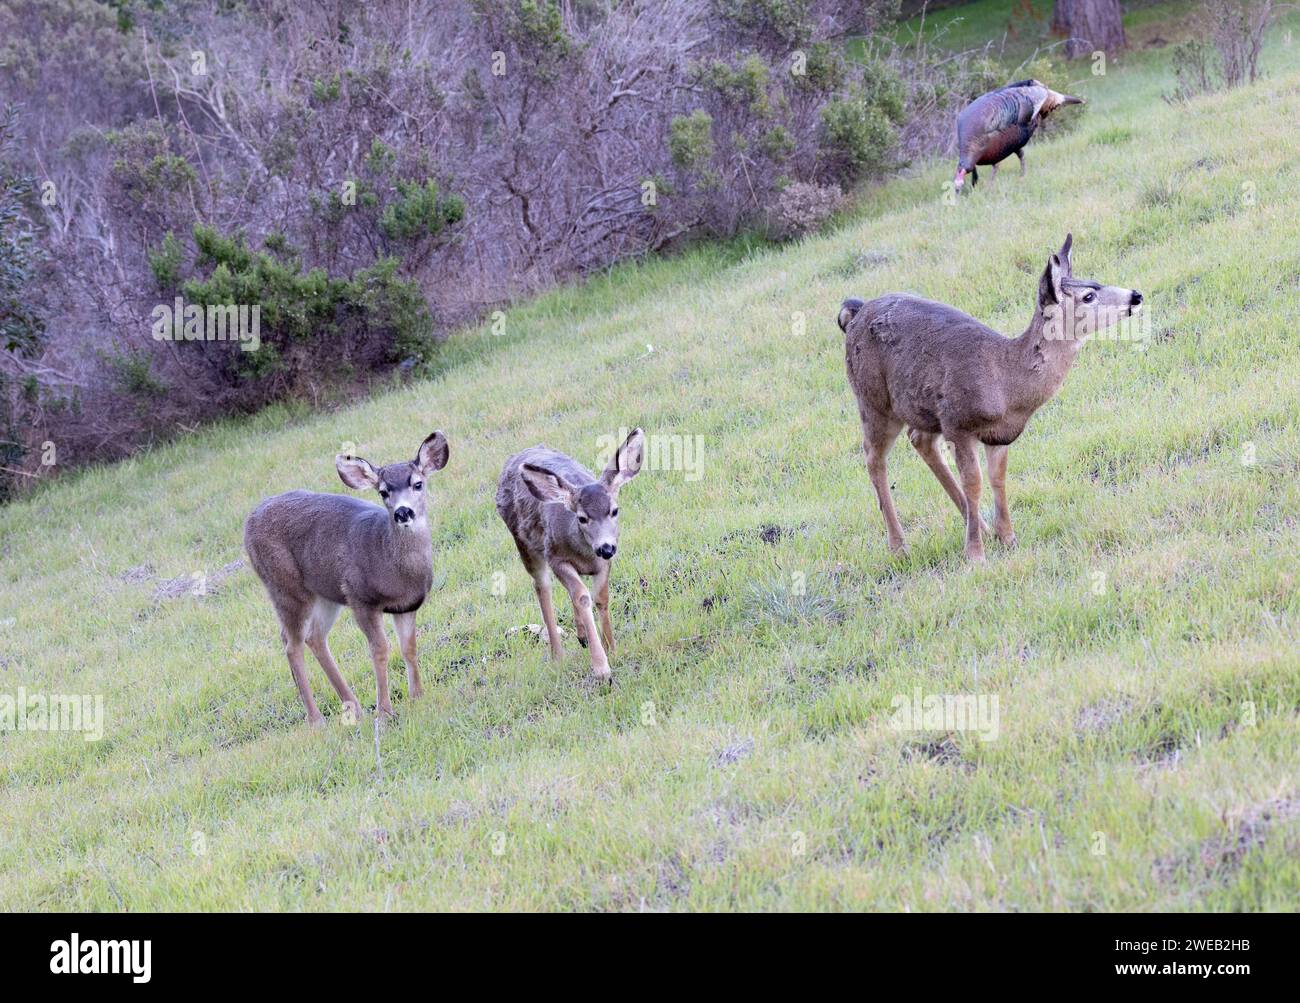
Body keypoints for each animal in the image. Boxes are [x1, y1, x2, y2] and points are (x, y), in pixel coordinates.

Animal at [244, 431, 450, 725]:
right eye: (383, 491)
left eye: (418, 484)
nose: (403, 512)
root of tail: (247, 524)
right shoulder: (359, 597)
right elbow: (380, 650)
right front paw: (385, 711)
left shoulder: (407, 605)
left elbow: (409, 647)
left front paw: (417, 696)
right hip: (285, 586)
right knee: (292, 644)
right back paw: (316, 719)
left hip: (326, 592)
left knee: (314, 637)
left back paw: (353, 706)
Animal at [496, 428, 645, 681]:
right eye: (582, 518)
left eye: (614, 510)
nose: (605, 547)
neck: (586, 554)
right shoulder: (557, 558)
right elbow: (582, 597)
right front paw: (601, 668)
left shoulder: (606, 563)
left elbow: (601, 597)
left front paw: (611, 647)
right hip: (523, 541)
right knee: (542, 587)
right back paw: (558, 655)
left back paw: (581, 636)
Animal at [837, 234, 1142, 562]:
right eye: (1088, 296)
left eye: (1095, 280)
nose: (1136, 296)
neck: (1006, 383)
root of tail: (853, 314)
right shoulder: (958, 423)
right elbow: (975, 483)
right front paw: (974, 554)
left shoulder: (999, 433)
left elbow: (998, 479)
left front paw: (1007, 537)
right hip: (872, 399)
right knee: (873, 458)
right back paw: (899, 546)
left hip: (921, 410)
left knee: (919, 439)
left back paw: (980, 526)